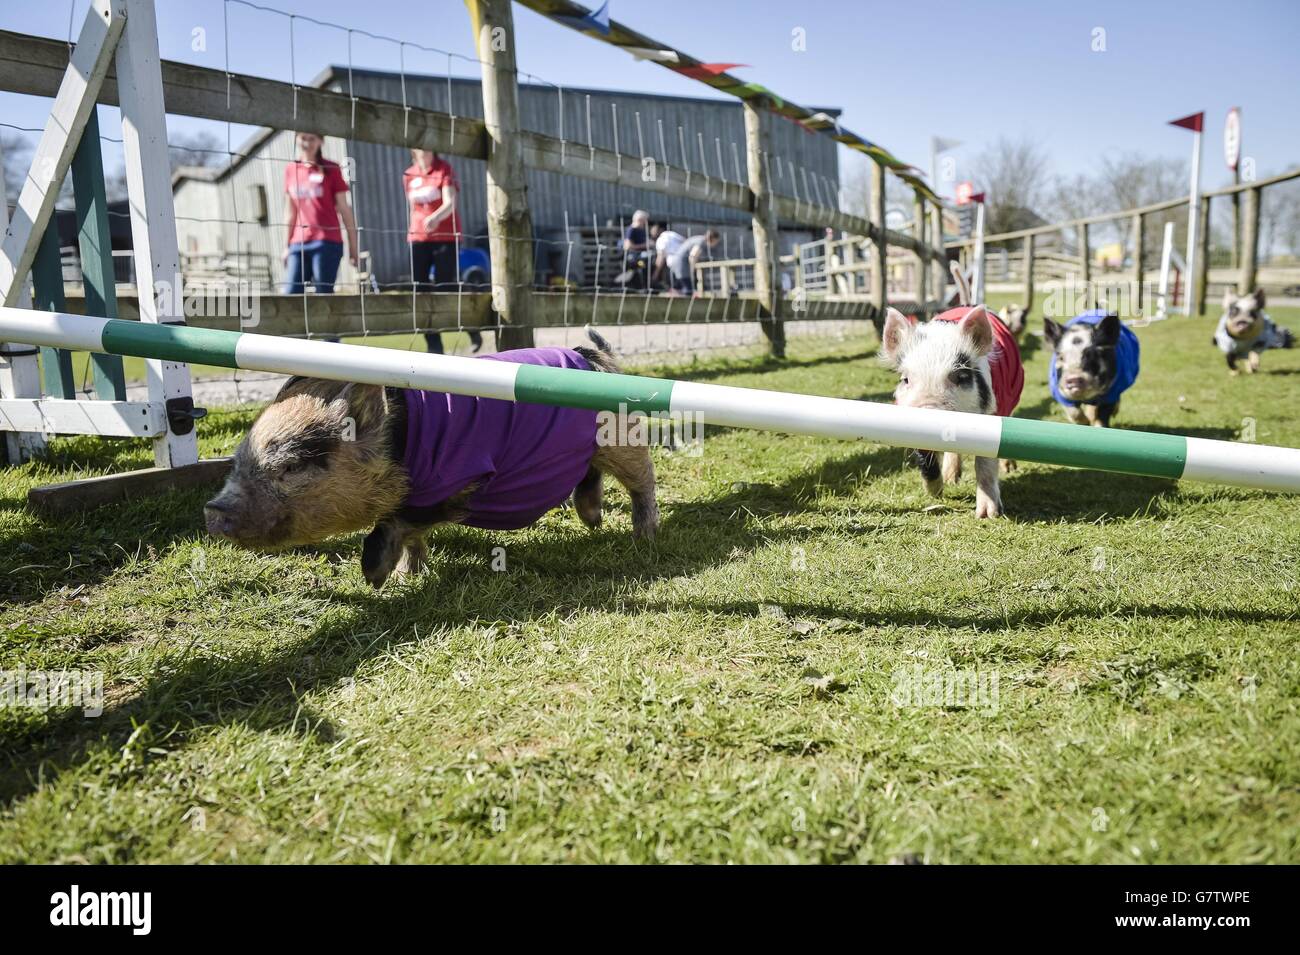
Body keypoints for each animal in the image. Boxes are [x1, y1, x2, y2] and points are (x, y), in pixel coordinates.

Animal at [204, 329, 658, 588]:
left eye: (293, 466)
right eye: (238, 462)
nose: (212, 510)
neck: (401, 446)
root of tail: (587, 355)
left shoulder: (459, 482)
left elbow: (399, 520)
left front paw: (374, 579)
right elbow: (410, 533)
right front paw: (408, 576)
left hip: (621, 437)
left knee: (644, 478)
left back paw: (643, 537)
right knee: (591, 473)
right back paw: (592, 521)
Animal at [880, 305, 1025, 518]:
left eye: (960, 377)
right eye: (905, 379)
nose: (927, 410)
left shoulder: (992, 414)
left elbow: (985, 464)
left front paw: (987, 515)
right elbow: (926, 460)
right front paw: (935, 494)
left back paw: (1009, 468)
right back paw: (950, 479)